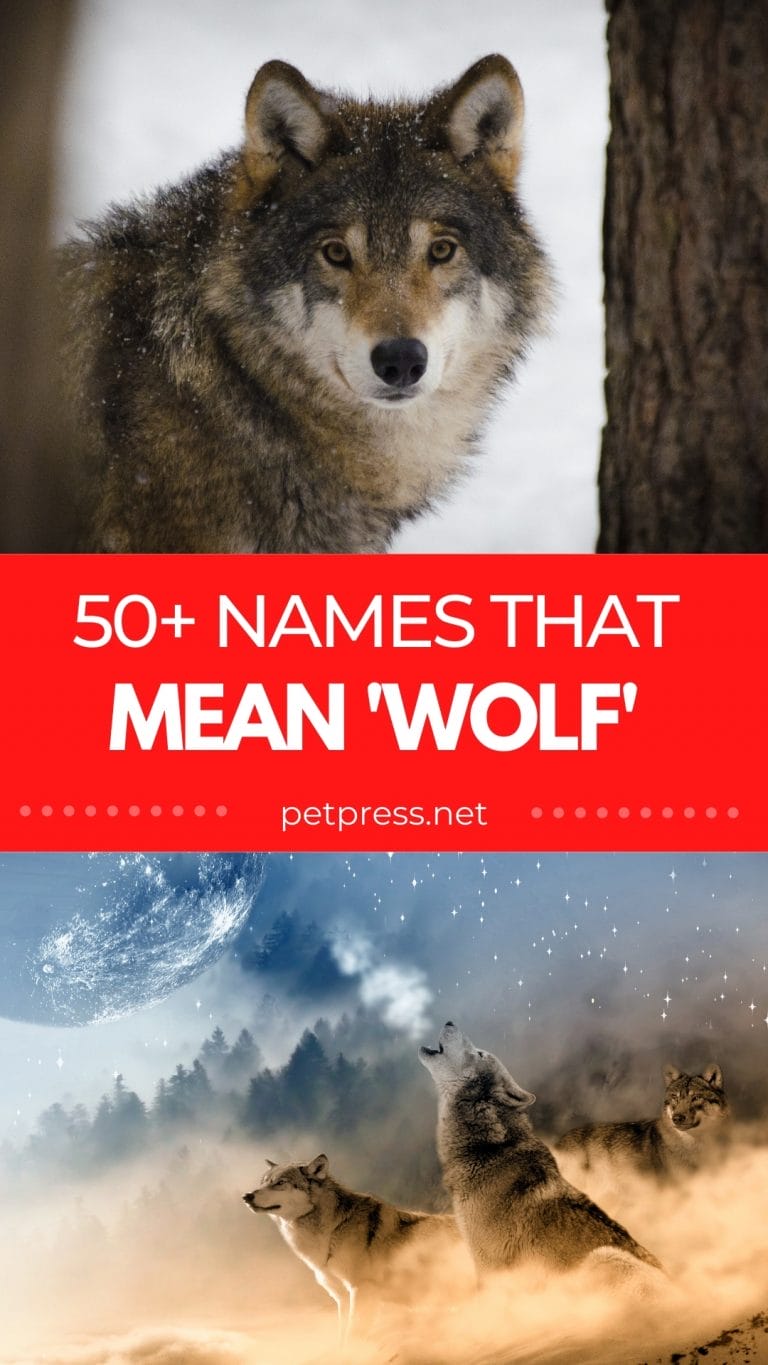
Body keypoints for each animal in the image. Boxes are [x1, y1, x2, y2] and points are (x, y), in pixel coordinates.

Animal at [243, 1153, 460, 1338]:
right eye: (263, 1182)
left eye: (280, 1183)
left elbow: (353, 1336)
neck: (331, 1231)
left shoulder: (361, 1290)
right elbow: (342, 1336)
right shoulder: (342, 1298)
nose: (247, 1196)